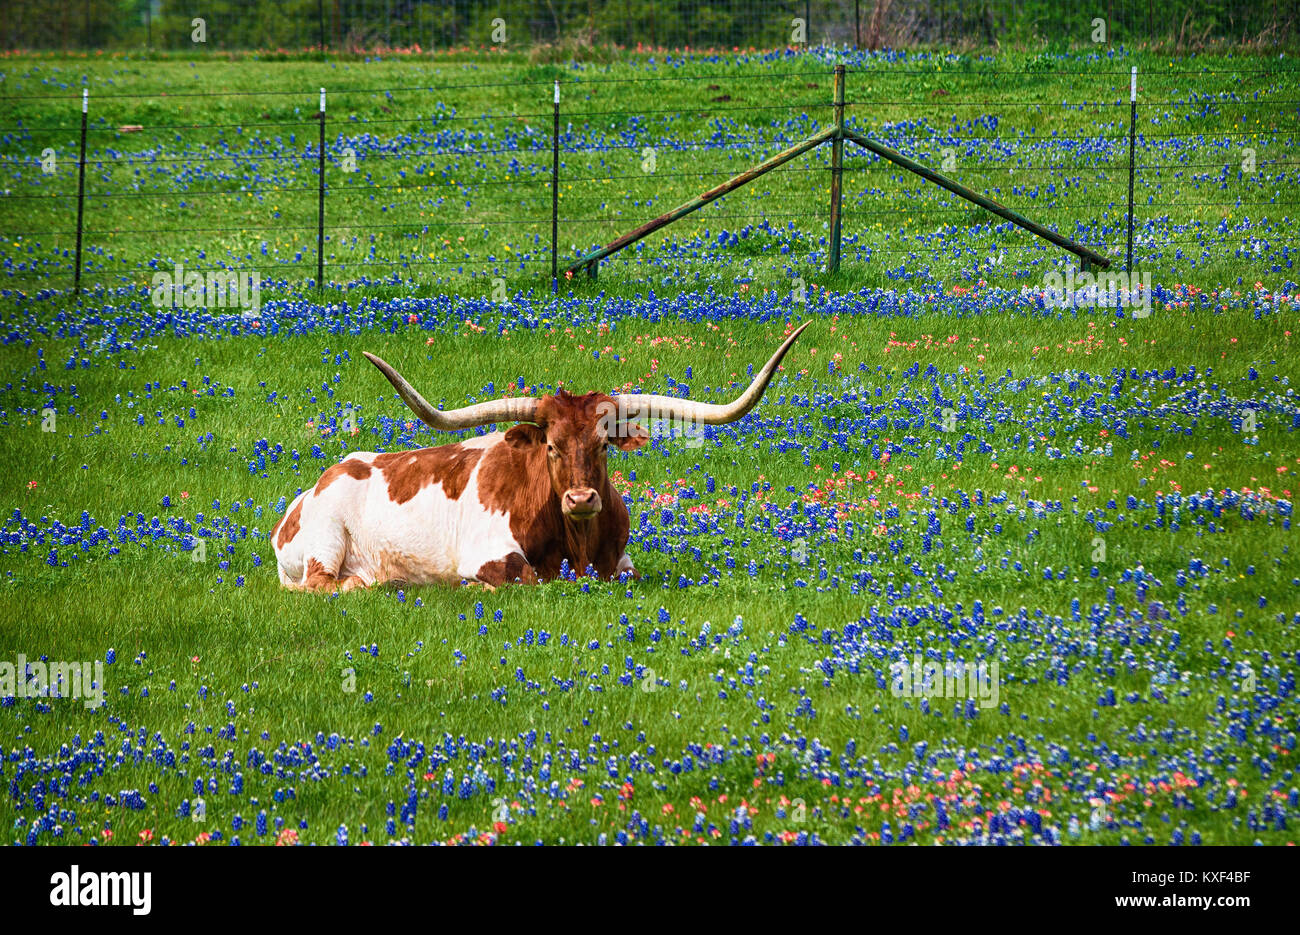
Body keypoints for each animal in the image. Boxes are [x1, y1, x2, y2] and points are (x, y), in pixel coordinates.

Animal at [271, 322, 809, 590]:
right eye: (551, 446)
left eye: (604, 444)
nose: (581, 499)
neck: (579, 545)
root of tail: (313, 486)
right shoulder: (490, 554)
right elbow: (524, 576)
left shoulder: (622, 563)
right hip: (326, 543)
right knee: (324, 584)